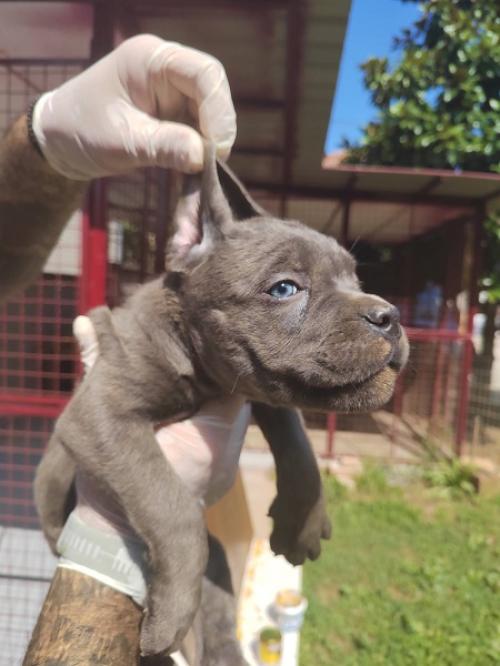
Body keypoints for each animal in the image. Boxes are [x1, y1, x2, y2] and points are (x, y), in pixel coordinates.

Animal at [36, 147, 410, 660]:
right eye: (284, 288)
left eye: (355, 278)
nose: (389, 315)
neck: (209, 378)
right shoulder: (101, 414)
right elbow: (170, 505)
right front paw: (170, 614)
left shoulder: (255, 388)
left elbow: (298, 443)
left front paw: (303, 519)